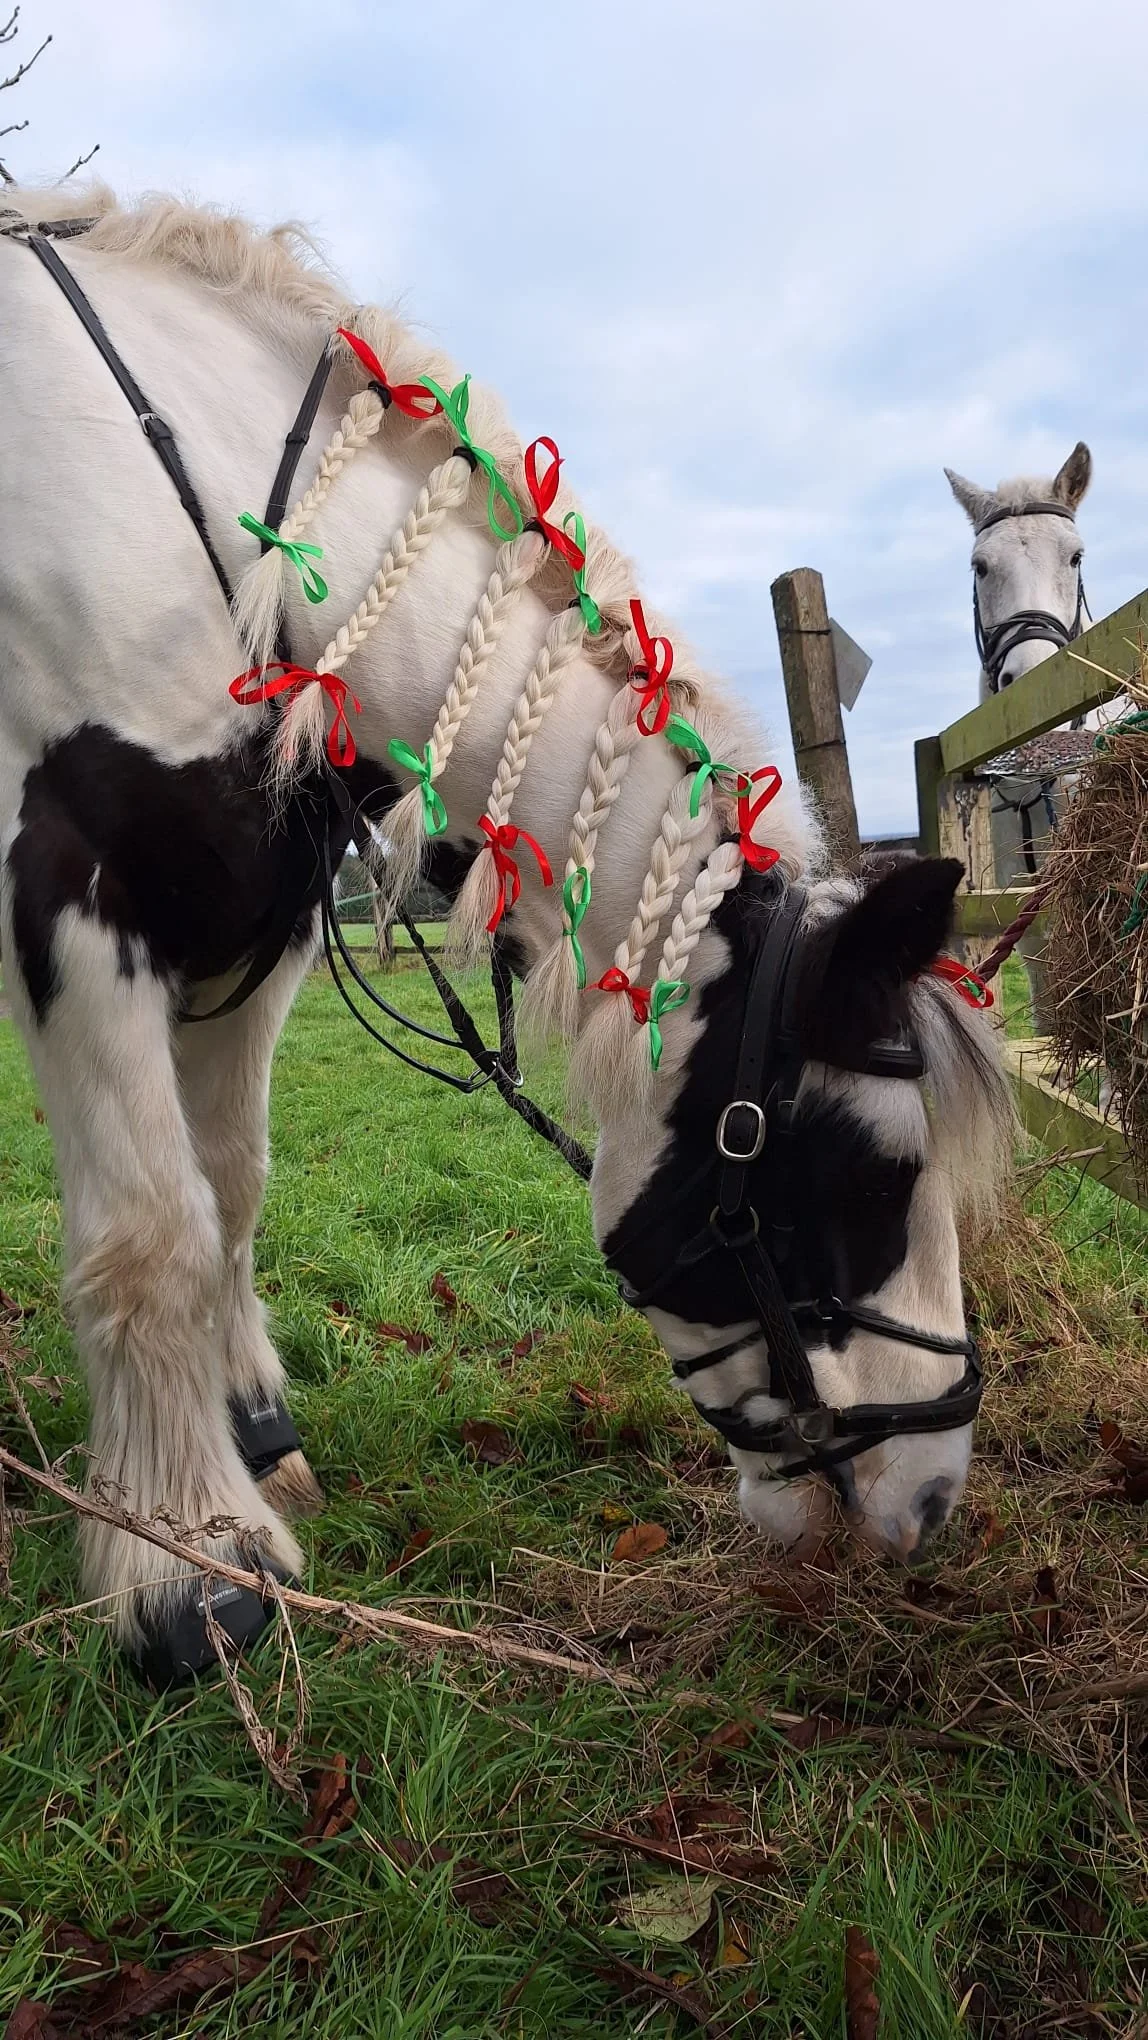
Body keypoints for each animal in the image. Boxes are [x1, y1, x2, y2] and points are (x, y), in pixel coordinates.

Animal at [0, 185, 1013, 1685]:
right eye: (868, 1175)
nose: (933, 1497)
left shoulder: (260, 929)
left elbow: (230, 1188)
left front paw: (252, 1435)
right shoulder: (76, 893)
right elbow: (151, 1234)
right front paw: (187, 1567)